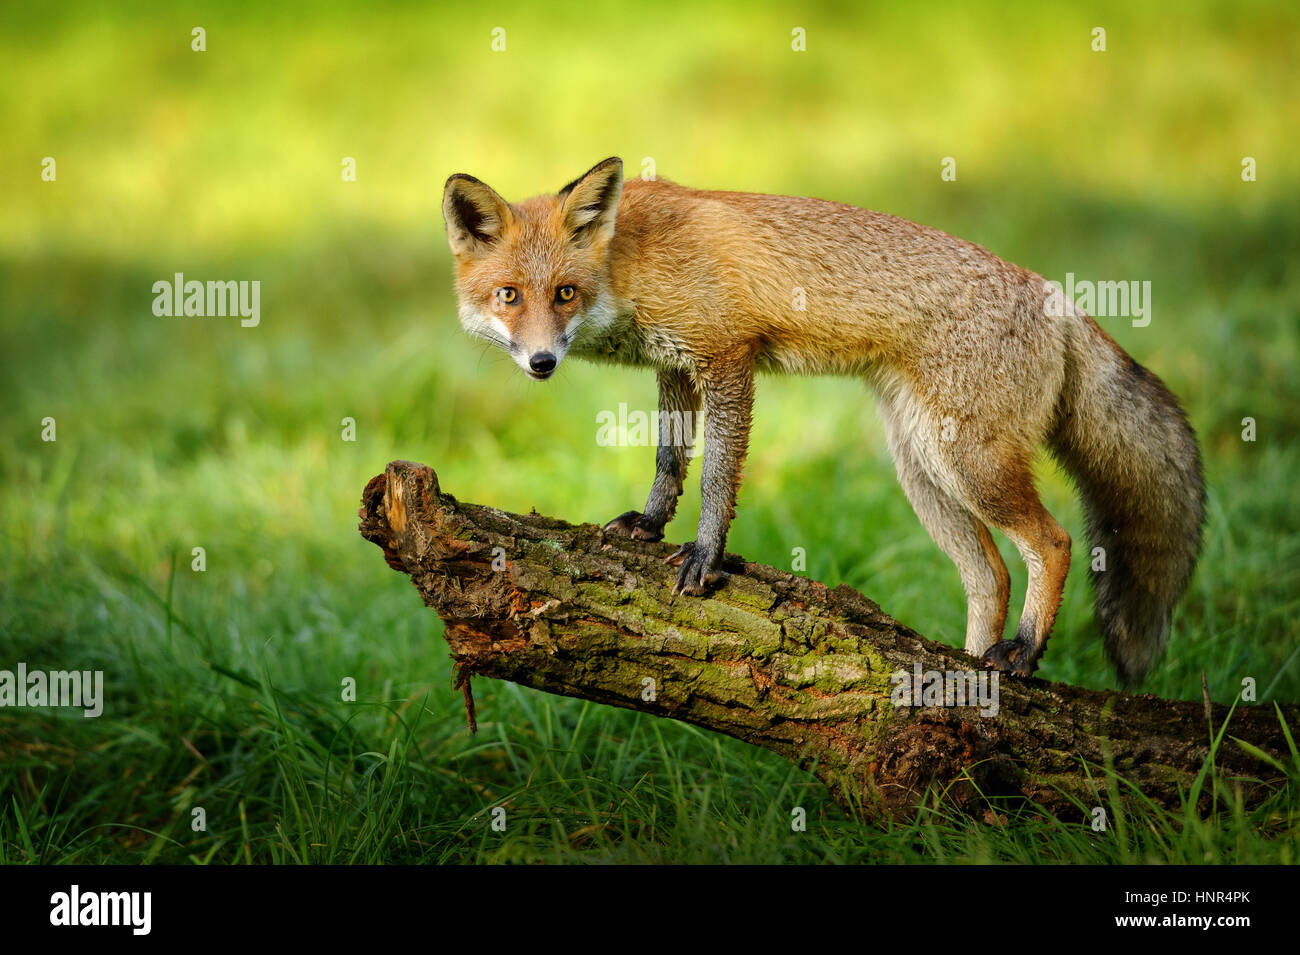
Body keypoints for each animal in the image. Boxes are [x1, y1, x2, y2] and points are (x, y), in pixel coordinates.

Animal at [441, 157, 1205, 685]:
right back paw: (968, 681)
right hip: (921, 467)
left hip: (969, 463)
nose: (542, 361)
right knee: (990, 575)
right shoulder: (676, 368)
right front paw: (649, 525)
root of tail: (1057, 295)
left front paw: (704, 557)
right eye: (509, 296)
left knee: (1052, 542)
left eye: (565, 294)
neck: (633, 257)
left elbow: (717, 479)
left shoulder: (727, 358)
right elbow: (668, 461)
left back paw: (1022, 651)